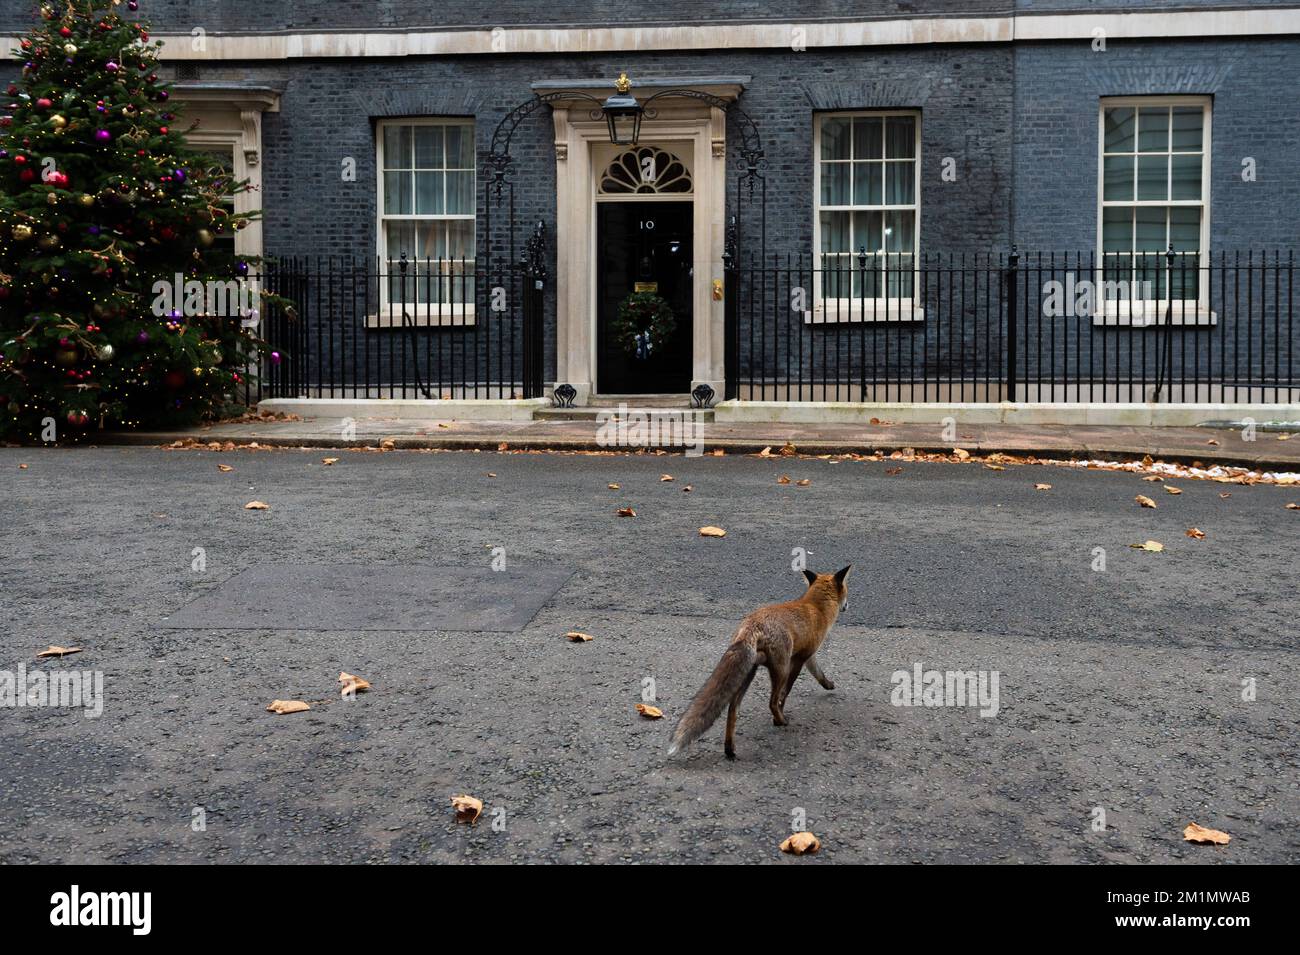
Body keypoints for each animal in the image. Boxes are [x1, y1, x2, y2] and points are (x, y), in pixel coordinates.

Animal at [667, 566, 852, 760]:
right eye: (847, 591)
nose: (847, 606)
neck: (816, 608)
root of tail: (751, 625)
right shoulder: (798, 660)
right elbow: (785, 694)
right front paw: (780, 715)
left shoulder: (808, 657)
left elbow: (819, 674)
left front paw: (828, 685)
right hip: (781, 670)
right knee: (771, 702)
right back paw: (781, 721)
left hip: (749, 671)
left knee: (732, 709)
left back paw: (730, 749)